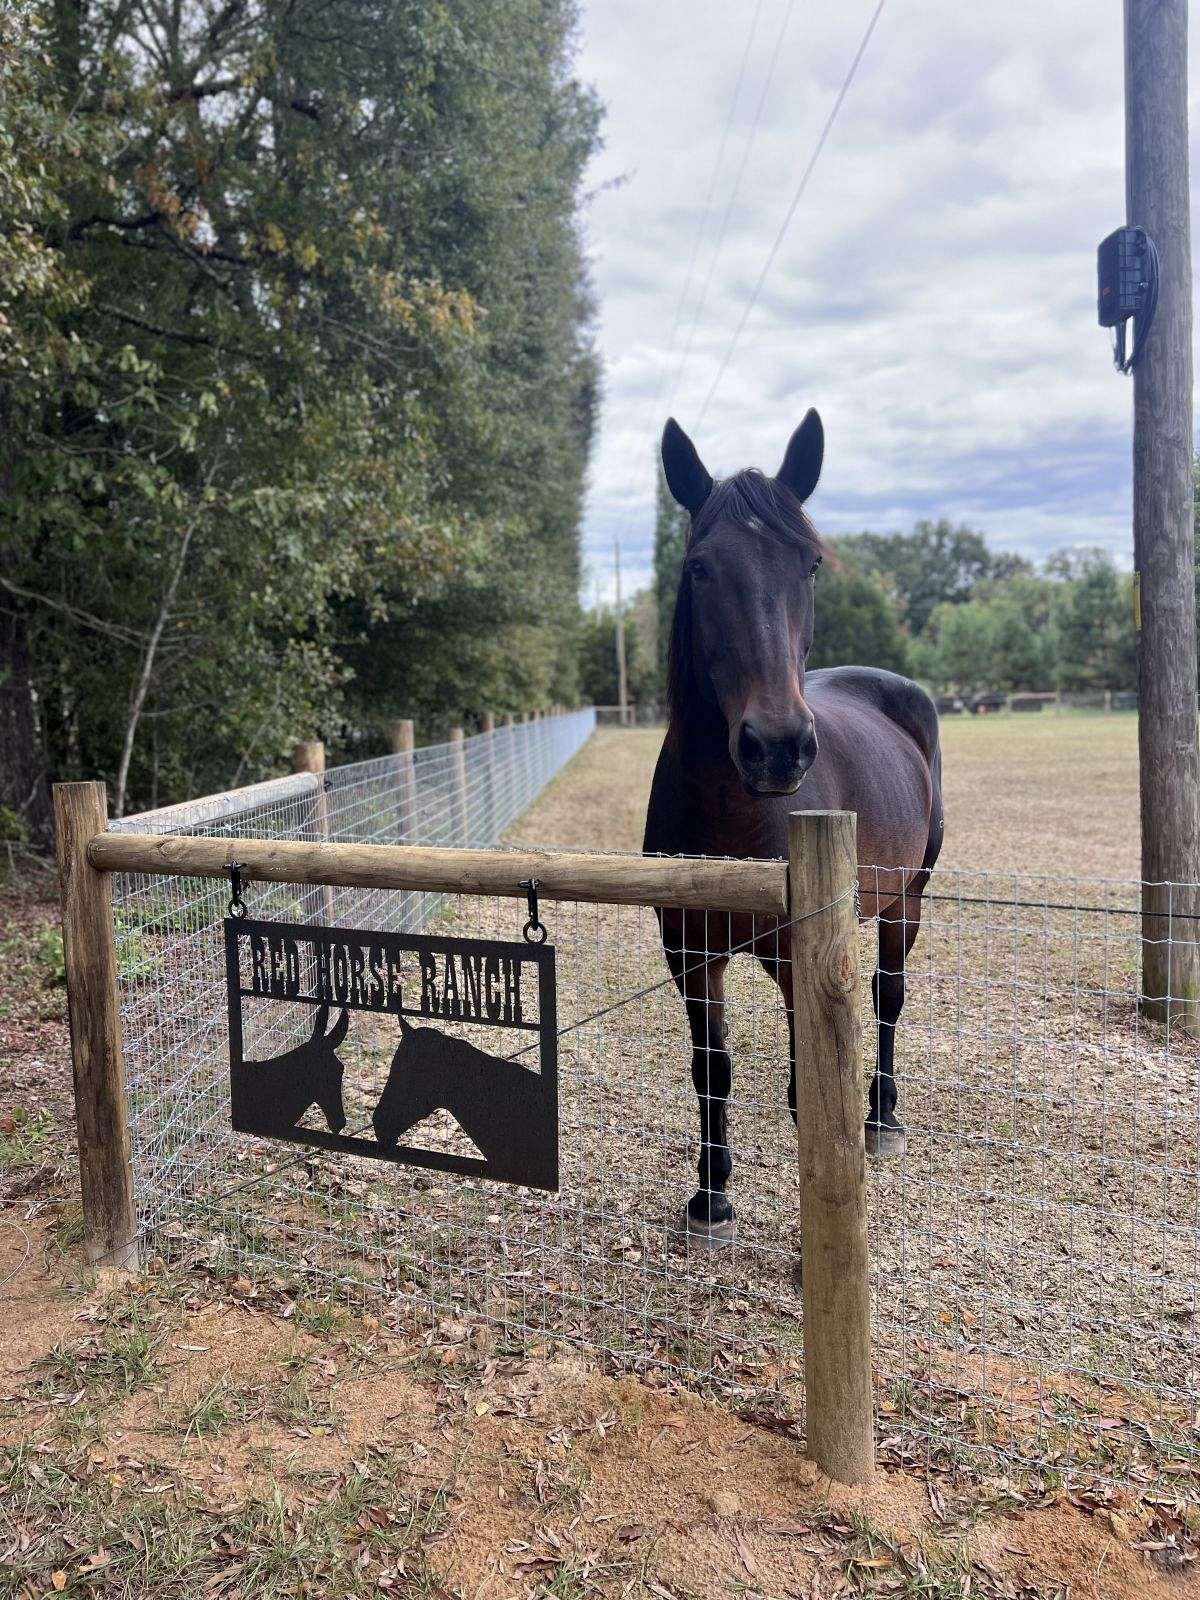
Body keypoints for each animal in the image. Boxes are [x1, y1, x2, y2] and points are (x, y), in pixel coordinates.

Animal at [643, 409, 944, 1247]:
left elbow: (807, 1086)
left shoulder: (799, 958)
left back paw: (882, 1116)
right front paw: (711, 1198)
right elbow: (711, 1068)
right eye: (700, 567)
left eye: (809, 566)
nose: (777, 745)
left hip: (906, 902)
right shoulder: (691, 954)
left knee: (889, 996)